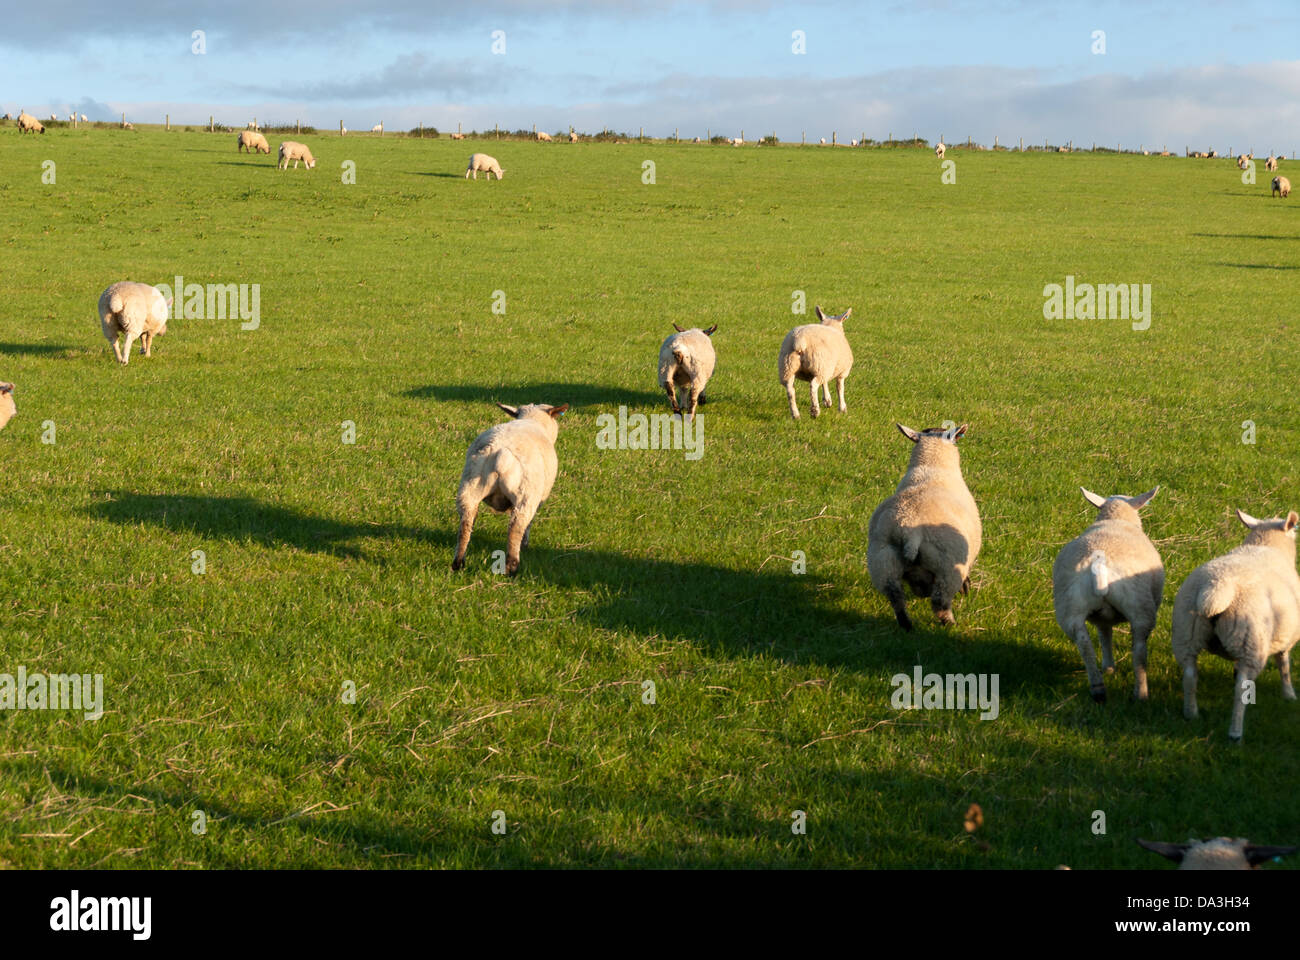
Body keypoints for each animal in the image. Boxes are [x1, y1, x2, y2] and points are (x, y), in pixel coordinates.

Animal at [452, 402, 569, 576]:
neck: (533, 420)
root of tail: (501, 454)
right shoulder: (538, 499)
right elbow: (529, 525)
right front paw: (525, 544)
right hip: (525, 497)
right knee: (516, 528)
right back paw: (512, 568)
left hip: (469, 487)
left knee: (466, 523)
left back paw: (458, 562)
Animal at [867, 423, 981, 630]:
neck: (931, 467)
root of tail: (910, 530)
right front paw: (967, 588)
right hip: (947, 571)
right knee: (939, 603)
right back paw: (950, 625)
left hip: (883, 563)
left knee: (896, 599)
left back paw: (907, 627)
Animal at [1052, 487, 1163, 702]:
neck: (1115, 518)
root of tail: (1099, 566)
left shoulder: (1100, 618)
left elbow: (1105, 637)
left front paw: (1109, 668)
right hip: (1140, 607)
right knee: (1139, 652)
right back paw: (1141, 694)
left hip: (1070, 609)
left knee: (1085, 646)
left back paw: (1098, 687)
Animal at [1172, 508, 1300, 741]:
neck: (1266, 545)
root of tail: (1215, 588)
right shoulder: (1286, 637)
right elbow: (1284, 665)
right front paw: (1289, 695)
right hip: (1251, 642)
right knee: (1242, 690)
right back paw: (1235, 733)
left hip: (1186, 632)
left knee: (1190, 675)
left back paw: (1191, 714)